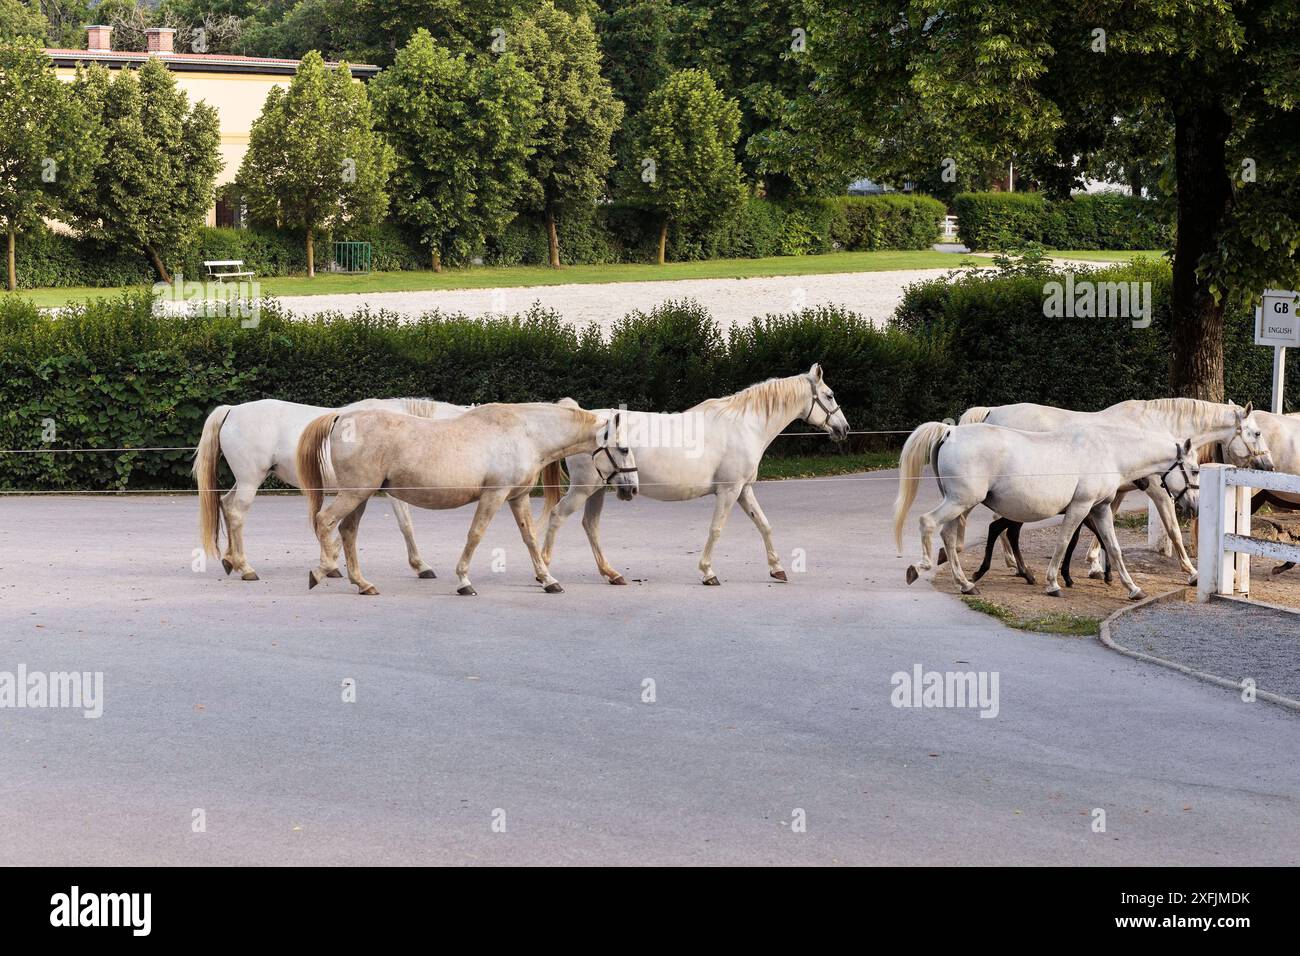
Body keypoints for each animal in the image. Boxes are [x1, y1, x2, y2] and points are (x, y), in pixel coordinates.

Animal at [194, 398, 468, 581]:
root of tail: (232, 410)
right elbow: (405, 525)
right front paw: (421, 566)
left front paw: (332, 564)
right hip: (250, 481)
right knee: (237, 514)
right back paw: (246, 568)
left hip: (244, 481)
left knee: (226, 505)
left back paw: (230, 561)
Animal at [296, 403, 638, 596]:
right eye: (623, 448)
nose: (631, 489)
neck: (524, 433)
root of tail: (342, 417)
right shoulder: (494, 495)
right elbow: (476, 535)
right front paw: (463, 581)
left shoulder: (518, 497)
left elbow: (529, 537)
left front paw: (548, 580)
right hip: (355, 493)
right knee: (325, 521)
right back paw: (322, 570)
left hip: (361, 495)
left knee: (348, 531)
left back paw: (362, 584)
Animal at [539, 365, 850, 586]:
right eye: (830, 395)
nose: (844, 428)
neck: (744, 425)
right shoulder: (729, 491)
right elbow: (716, 529)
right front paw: (708, 572)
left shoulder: (744, 490)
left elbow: (764, 525)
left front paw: (777, 569)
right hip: (583, 489)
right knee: (557, 516)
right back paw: (544, 571)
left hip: (599, 490)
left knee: (590, 526)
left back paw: (612, 574)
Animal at [893, 420, 1200, 600]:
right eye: (1195, 470)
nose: (1194, 507)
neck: (1109, 451)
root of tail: (951, 431)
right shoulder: (1080, 507)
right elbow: (1063, 543)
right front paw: (1053, 583)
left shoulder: (1100, 510)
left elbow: (1113, 548)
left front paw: (1133, 588)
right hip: (960, 501)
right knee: (928, 523)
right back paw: (920, 568)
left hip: (959, 503)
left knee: (947, 535)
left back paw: (966, 583)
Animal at [958, 399, 1272, 583]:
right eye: (1257, 433)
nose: (1268, 464)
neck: (1157, 429)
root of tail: (993, 411)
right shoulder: (1159, 490)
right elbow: (1172, 529)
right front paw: (1192, 572)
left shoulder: (1116, 491)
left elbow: (1104, 528)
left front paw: (1096, 565)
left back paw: (1013, 564)